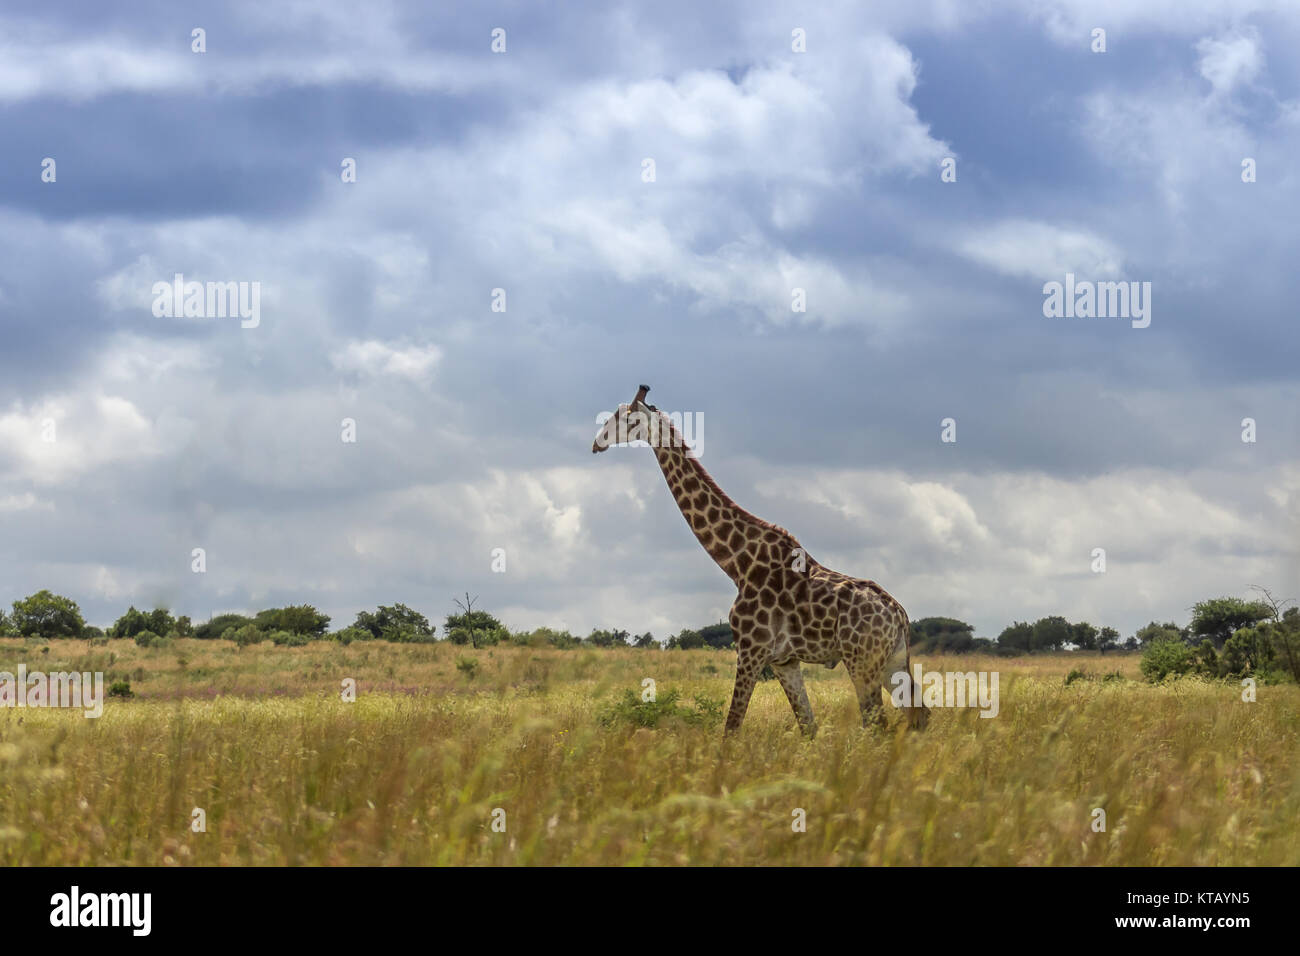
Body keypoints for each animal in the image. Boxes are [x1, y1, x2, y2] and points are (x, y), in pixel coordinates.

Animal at [592, 385, 929, 736]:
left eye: (624, 417)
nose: (596, 442)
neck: (737, 563)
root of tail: (899, 614)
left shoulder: (751, 650)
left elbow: (731, 727)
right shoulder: (783, 661)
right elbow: (808, 727)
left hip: (861, 660)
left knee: (878, 725)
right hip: (891, 662)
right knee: (918, 715)